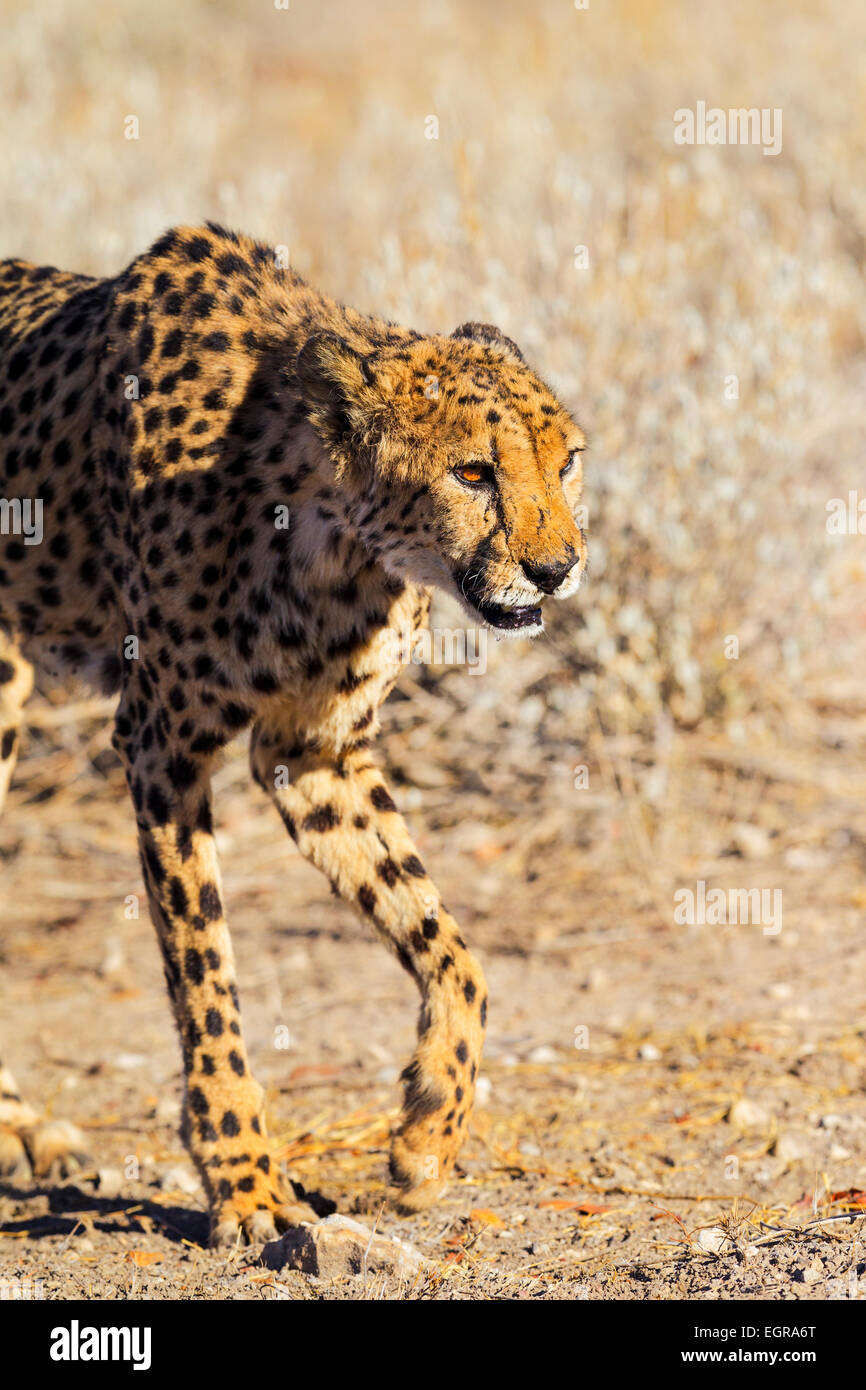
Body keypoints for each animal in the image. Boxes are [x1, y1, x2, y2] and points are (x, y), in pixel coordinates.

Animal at [0, 223, 586, 1246]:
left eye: (568, 463)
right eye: (474, 473)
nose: (556, 569)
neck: (325, 520)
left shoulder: (313, 753)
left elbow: (450, 945)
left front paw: (427, 1132)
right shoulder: (160, 746)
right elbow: (205, 976)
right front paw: (245, 1179)